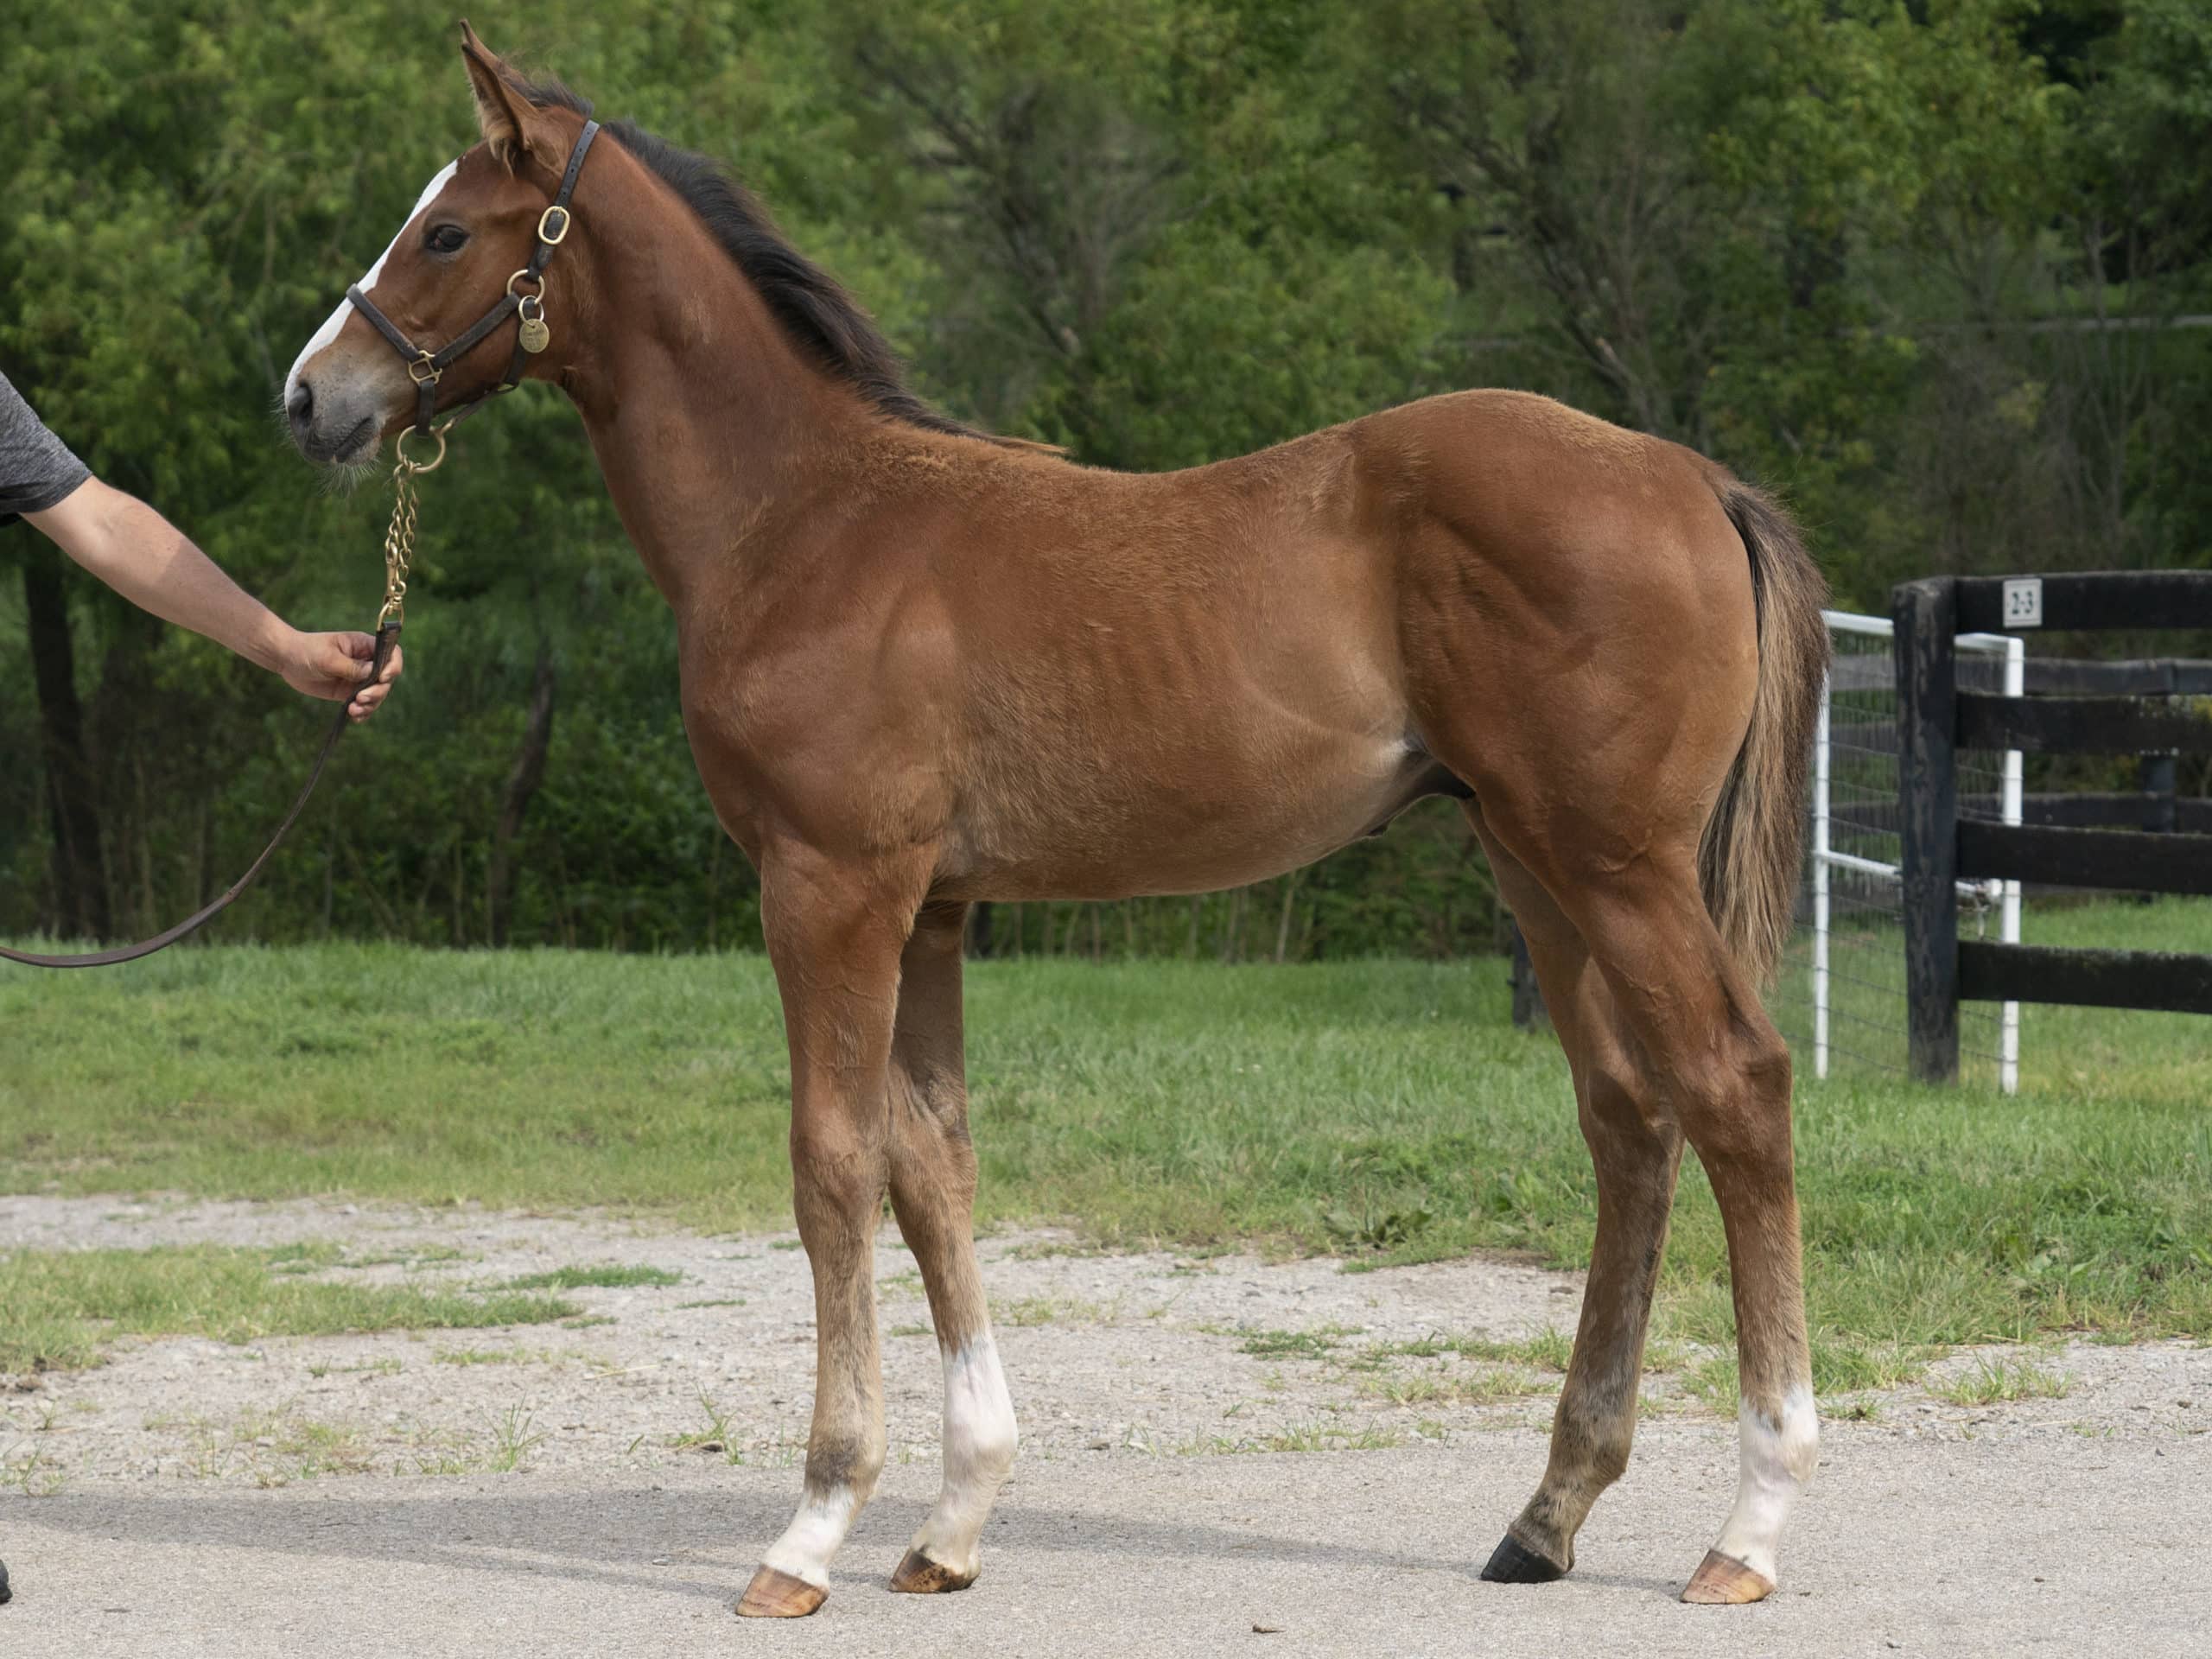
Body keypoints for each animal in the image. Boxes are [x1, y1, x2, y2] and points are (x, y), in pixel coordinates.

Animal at [284, 24, 1829, 1619]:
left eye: (446, 230)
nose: (311, 397)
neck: (803, 520)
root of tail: (1693, 478)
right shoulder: (933, 910)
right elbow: (932, 1168)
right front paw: (950, 1522)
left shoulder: (827, 890)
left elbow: (830, 1165)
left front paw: (813, 1526)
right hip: (1534, 868)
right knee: (1631, 1120)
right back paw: (1549, 1512)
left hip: (1620, 866)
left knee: (1737, 1088)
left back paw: (1749, 1526)